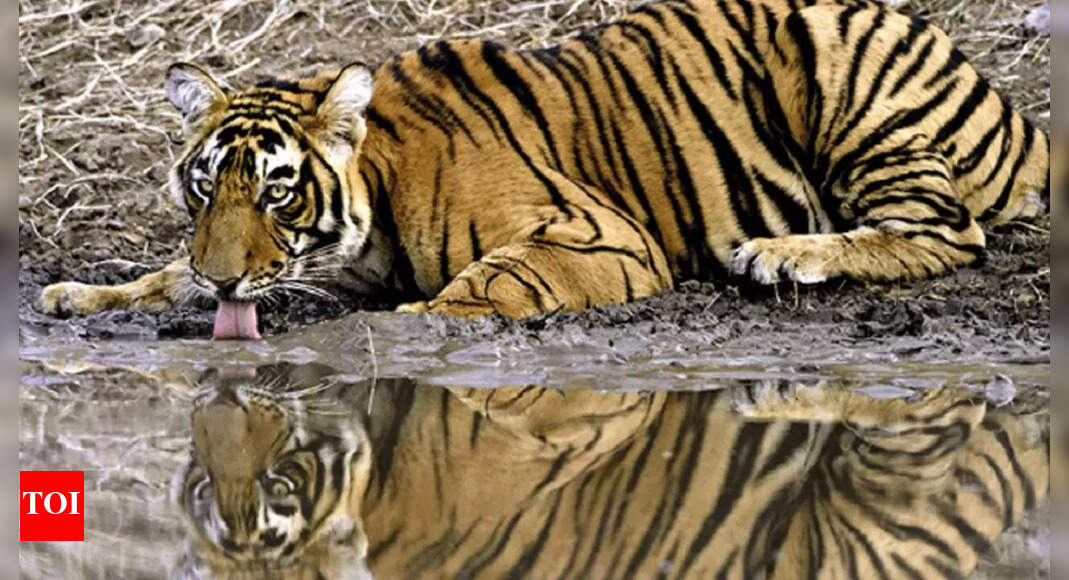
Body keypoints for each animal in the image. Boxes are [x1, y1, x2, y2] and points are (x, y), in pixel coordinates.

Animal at [40, 0, 1050, 337]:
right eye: (205, 186)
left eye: (279, 191)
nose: (225, 281)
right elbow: (167, 271)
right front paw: (82, 294)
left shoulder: (599, 234)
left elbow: (498, 278)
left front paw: (420, 320)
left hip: (847, 78)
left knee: (946, 231)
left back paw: (787, 255)